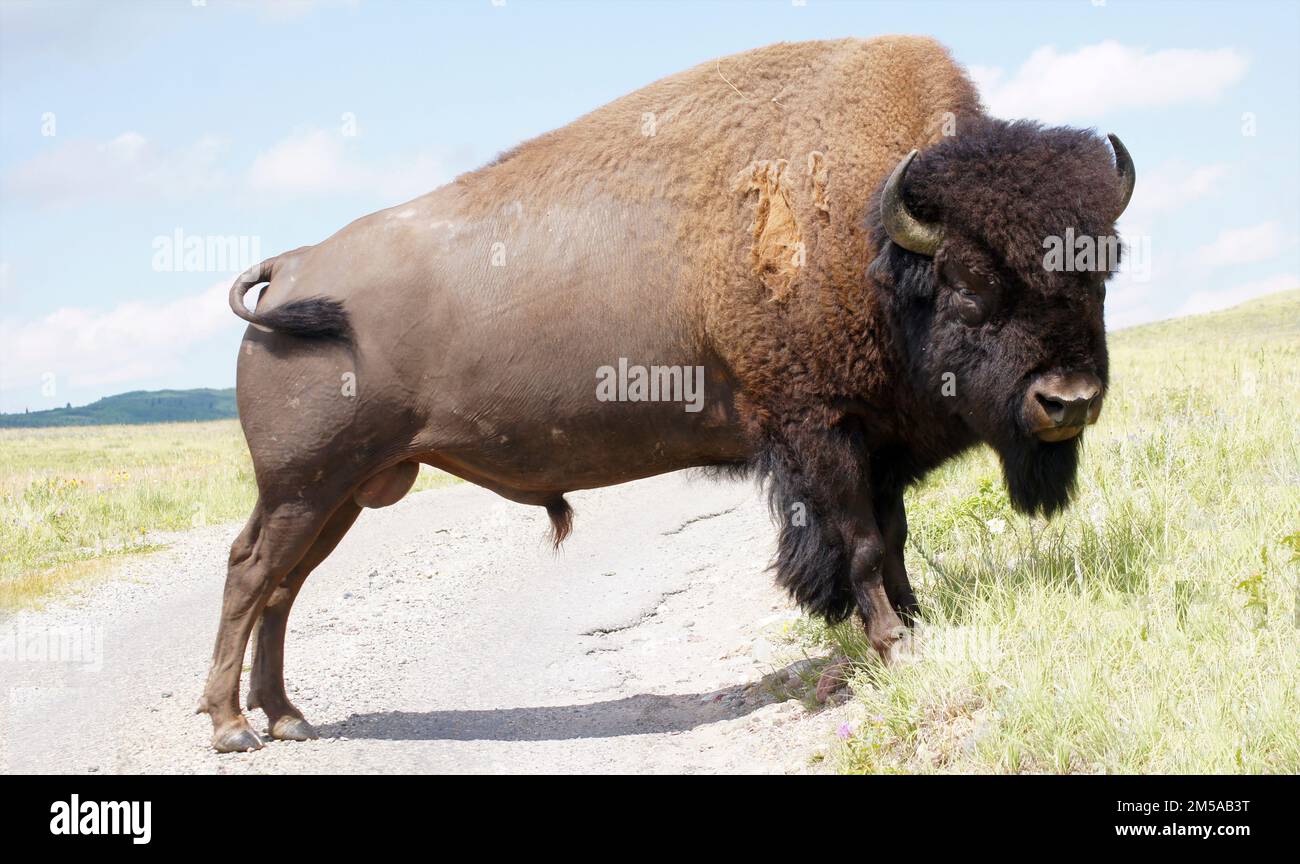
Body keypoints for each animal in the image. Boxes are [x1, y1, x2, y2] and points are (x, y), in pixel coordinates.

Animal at [203, 36, 1133, 752]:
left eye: (1102, 269)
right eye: (969, 282)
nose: (1069, 400)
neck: (873, 230)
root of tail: (293, 265)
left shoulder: (876, 446)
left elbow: (894, 541)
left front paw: (916, 625)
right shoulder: (820, 433)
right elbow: (864, 546)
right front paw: (894, 643)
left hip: (345, 491)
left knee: (282, 586)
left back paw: (286, 718)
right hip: (305, 484)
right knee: (251, 573)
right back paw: (231, 727)